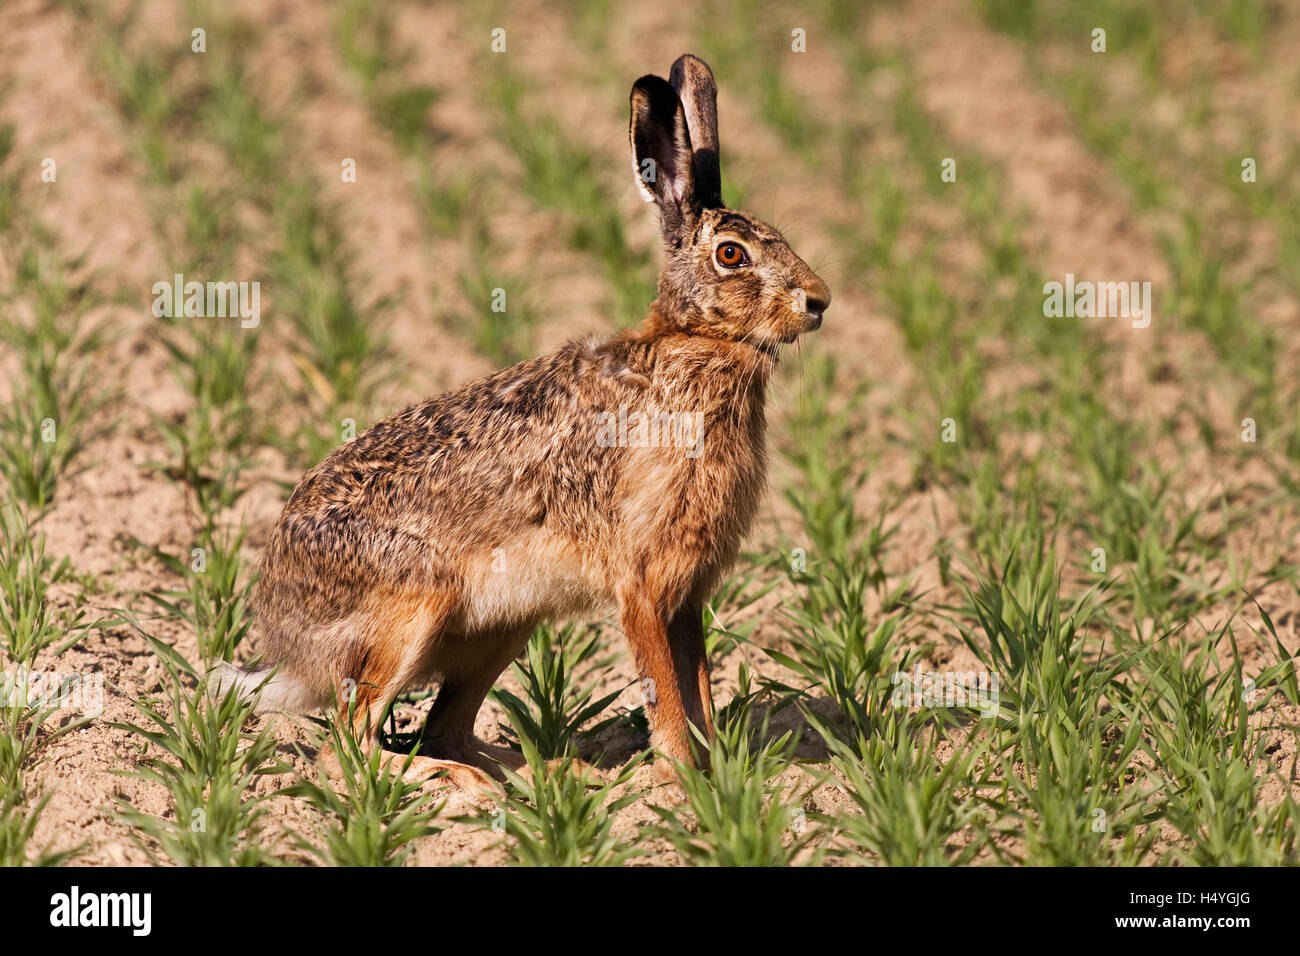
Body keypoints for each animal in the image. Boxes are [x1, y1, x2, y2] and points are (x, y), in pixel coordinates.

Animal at [213, 54, 830, 794]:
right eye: (732, 255)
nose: (820, 301)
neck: (694, 343)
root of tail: (288, 644)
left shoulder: (687, 593)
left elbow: (699, 684)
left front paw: (721, 784)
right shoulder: (642, 584)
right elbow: (665, 688)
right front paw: (679, 782)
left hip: (504, 624)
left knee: (443, 726)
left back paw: (551, 773)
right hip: (410, 612)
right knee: (351, 741)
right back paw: (464, 787)